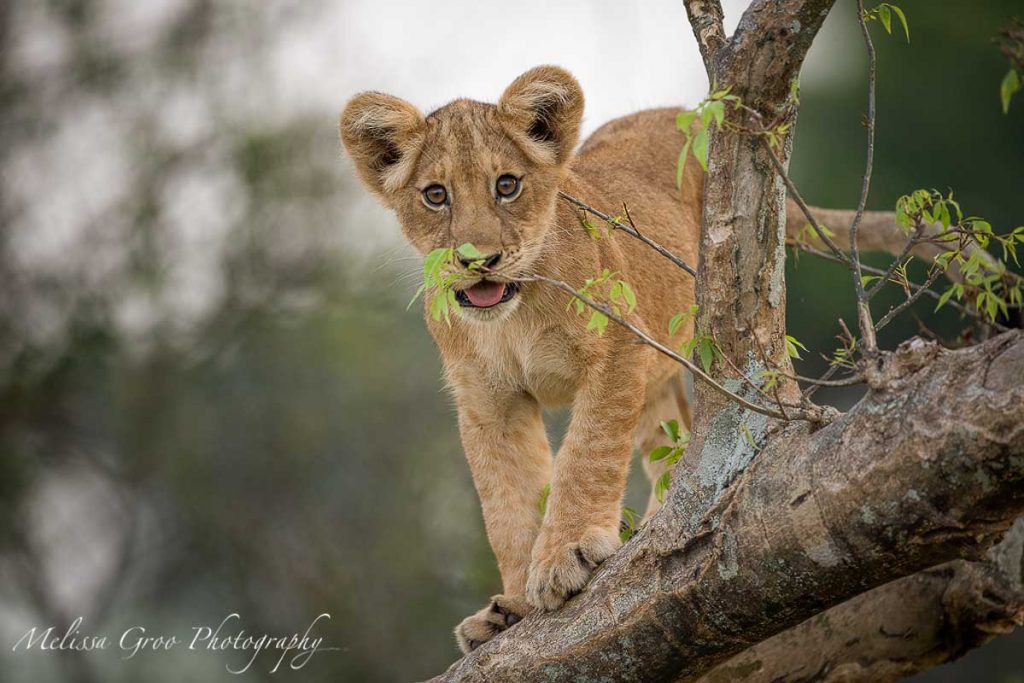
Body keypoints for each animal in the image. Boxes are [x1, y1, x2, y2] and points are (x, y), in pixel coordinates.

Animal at [339, 65, 931, 653]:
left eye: (506, 185)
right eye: (435, 195)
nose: (477, 261)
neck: (514, 317)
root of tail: (682, 113)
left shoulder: (619, 349)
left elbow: (587, 454)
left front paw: (566, 555)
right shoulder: (488, 400)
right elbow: (506, 499)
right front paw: (514, 606)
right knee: (673, 440)